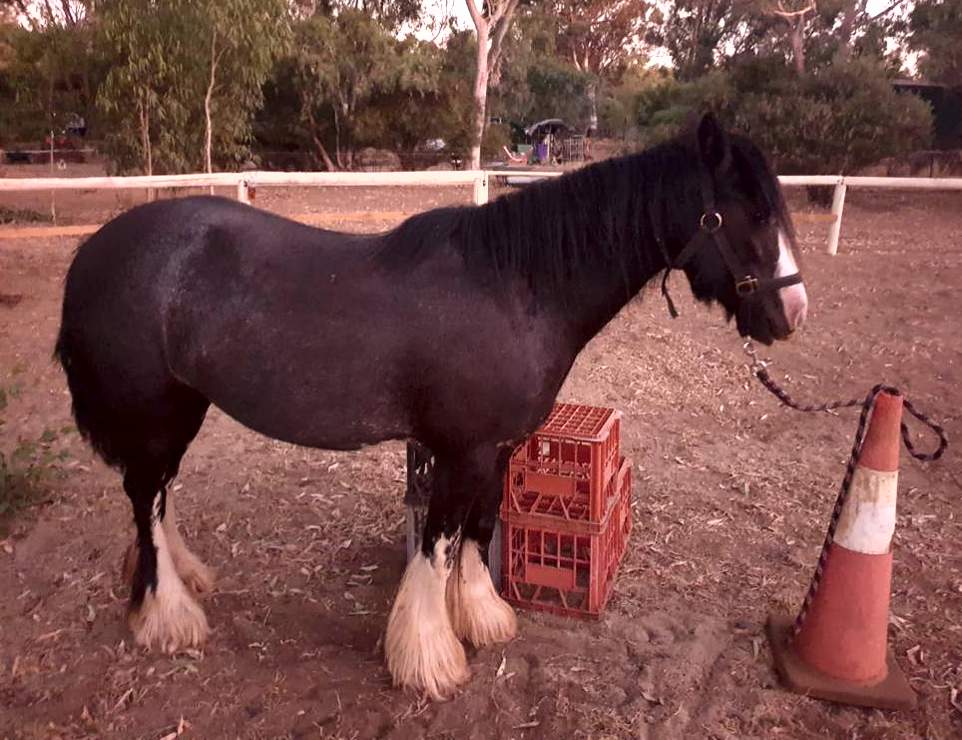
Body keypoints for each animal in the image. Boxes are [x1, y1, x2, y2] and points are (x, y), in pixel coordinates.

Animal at [54, 113, 807, 700]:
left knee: (157, 498)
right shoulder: (460, 449)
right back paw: (168, 616)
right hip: (157, 410)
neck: (516, 286)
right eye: (752, 214)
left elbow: (478, 530)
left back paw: (184, 580)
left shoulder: (496, 449)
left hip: (182, 409)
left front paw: (480, 617)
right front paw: (429, 657)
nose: (793, 313)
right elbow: (440, 543)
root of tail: (96, 251)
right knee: (145, 497)